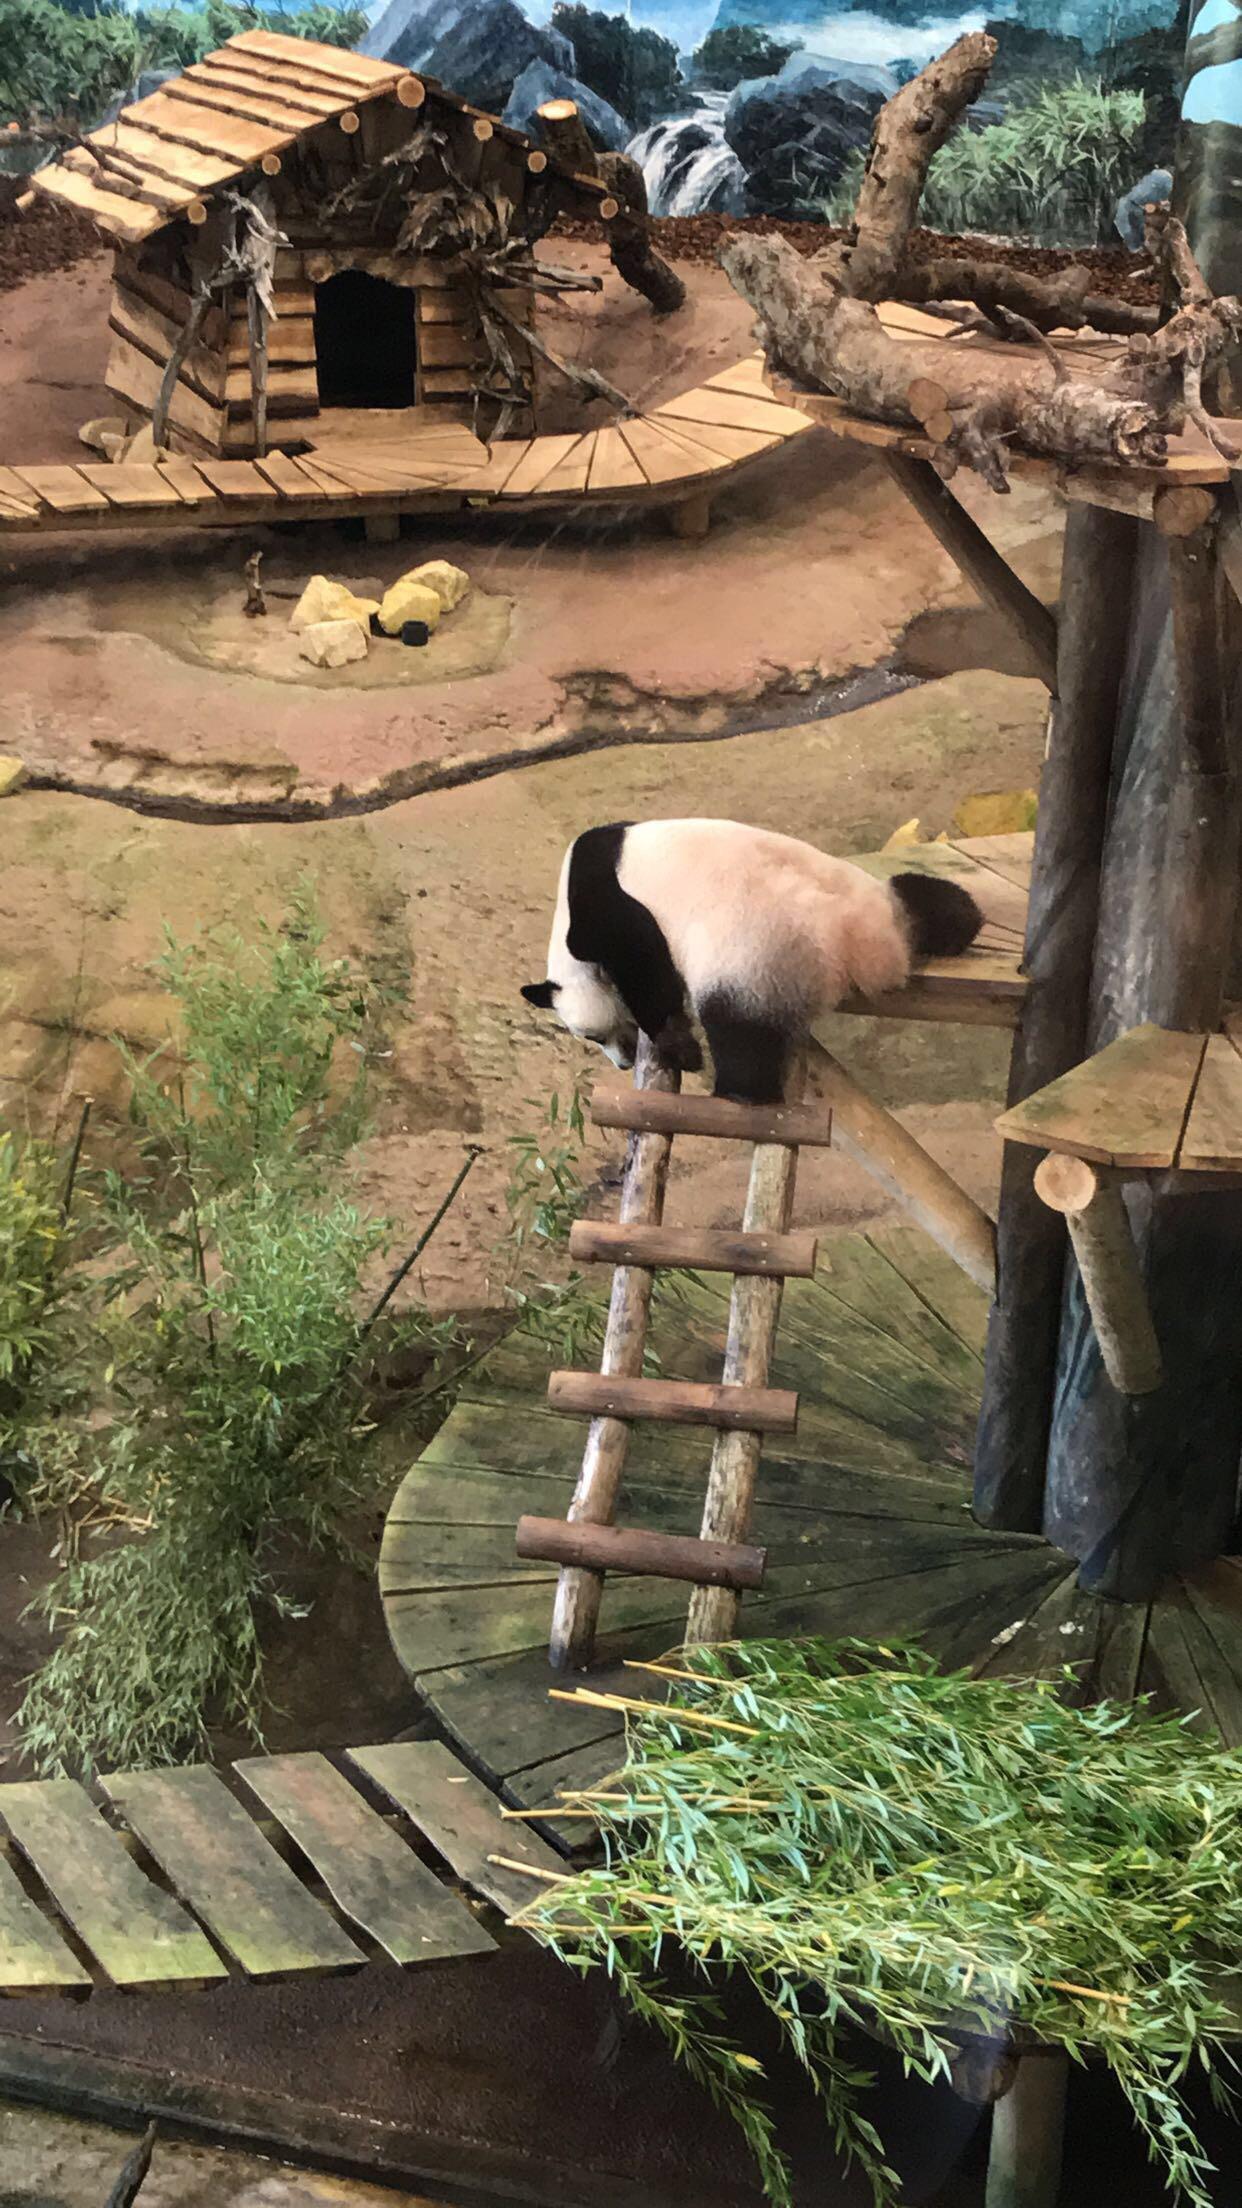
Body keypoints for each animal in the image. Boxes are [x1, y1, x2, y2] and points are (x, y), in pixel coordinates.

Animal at [521, 818, 983, 1105]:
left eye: (592, 1036)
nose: (623, 1062)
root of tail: (863, 940)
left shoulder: (605, 904)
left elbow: (643, 965)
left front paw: (680, 1049)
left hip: (759, 952)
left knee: (740, 1026)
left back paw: (738, 1091)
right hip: (878, 899)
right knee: (925, 898)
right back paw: (959, 921)